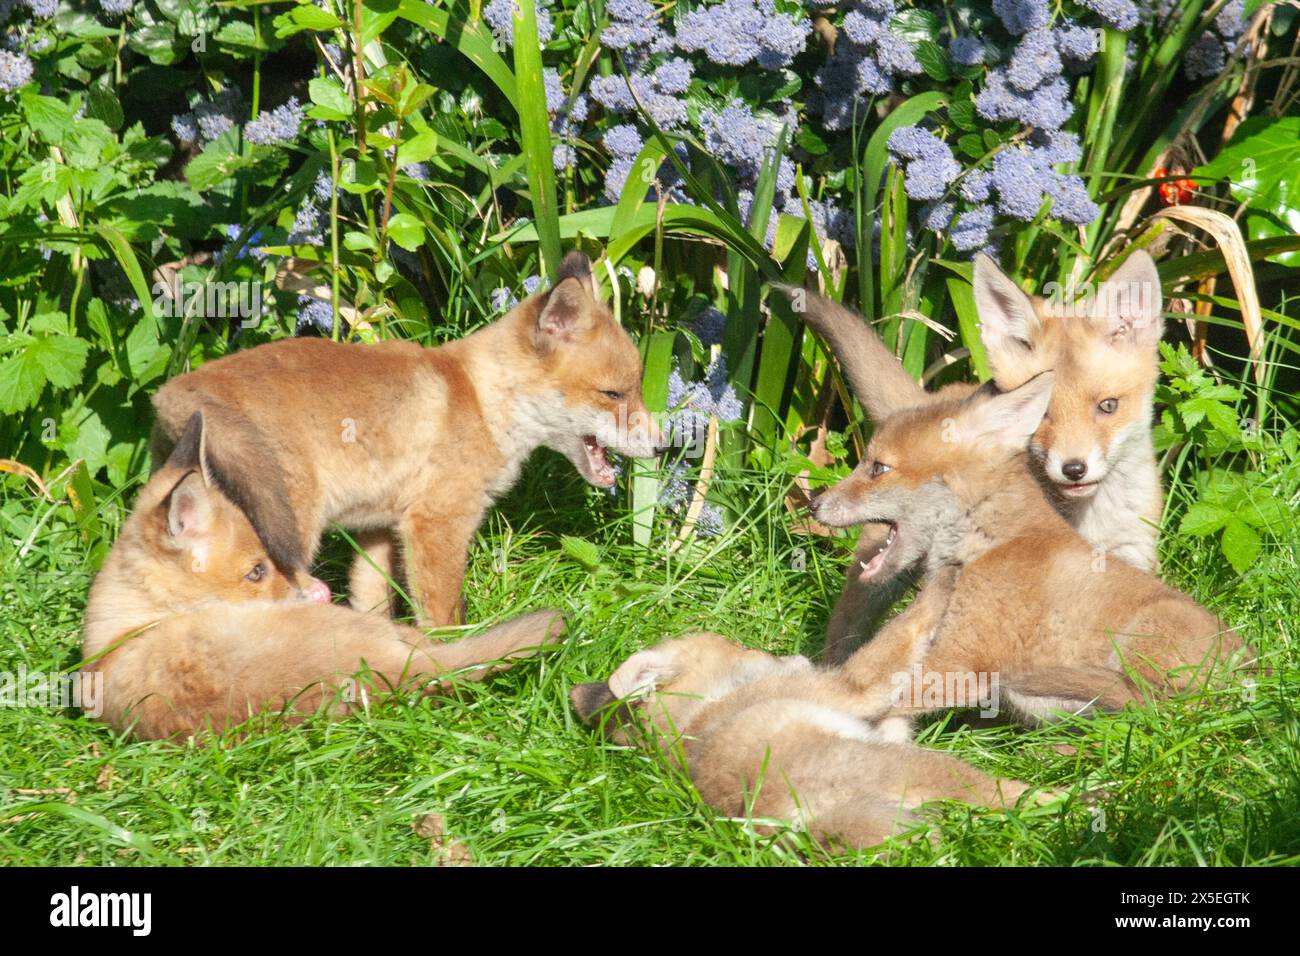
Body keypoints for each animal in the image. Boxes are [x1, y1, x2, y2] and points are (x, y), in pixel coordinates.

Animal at [150, 251, 662, 626]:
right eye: (613, 393)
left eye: (638, 387)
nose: (662, 446)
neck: (481, 399)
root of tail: (175, 391)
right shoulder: (437, 522)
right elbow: (441, 615)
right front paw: (455, 675)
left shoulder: (378, 526)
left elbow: (372, 602)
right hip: (290, 529)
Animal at [571, 632, 1040, 853]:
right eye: (741, 646)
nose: (791, 655)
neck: (705, 708)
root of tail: (799, 827)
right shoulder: (851, 689)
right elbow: (903, 634)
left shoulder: (878, 723)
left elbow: (899, 708)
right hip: (926, 769)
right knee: (1017, 796)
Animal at [807, 371, 1250, 725]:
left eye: (878, 468)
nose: (812, 505)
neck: (983, 545)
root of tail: (1253, 669)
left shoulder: (961, 663)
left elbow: (867, 706)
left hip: (1143, 644)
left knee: (1157, 711)